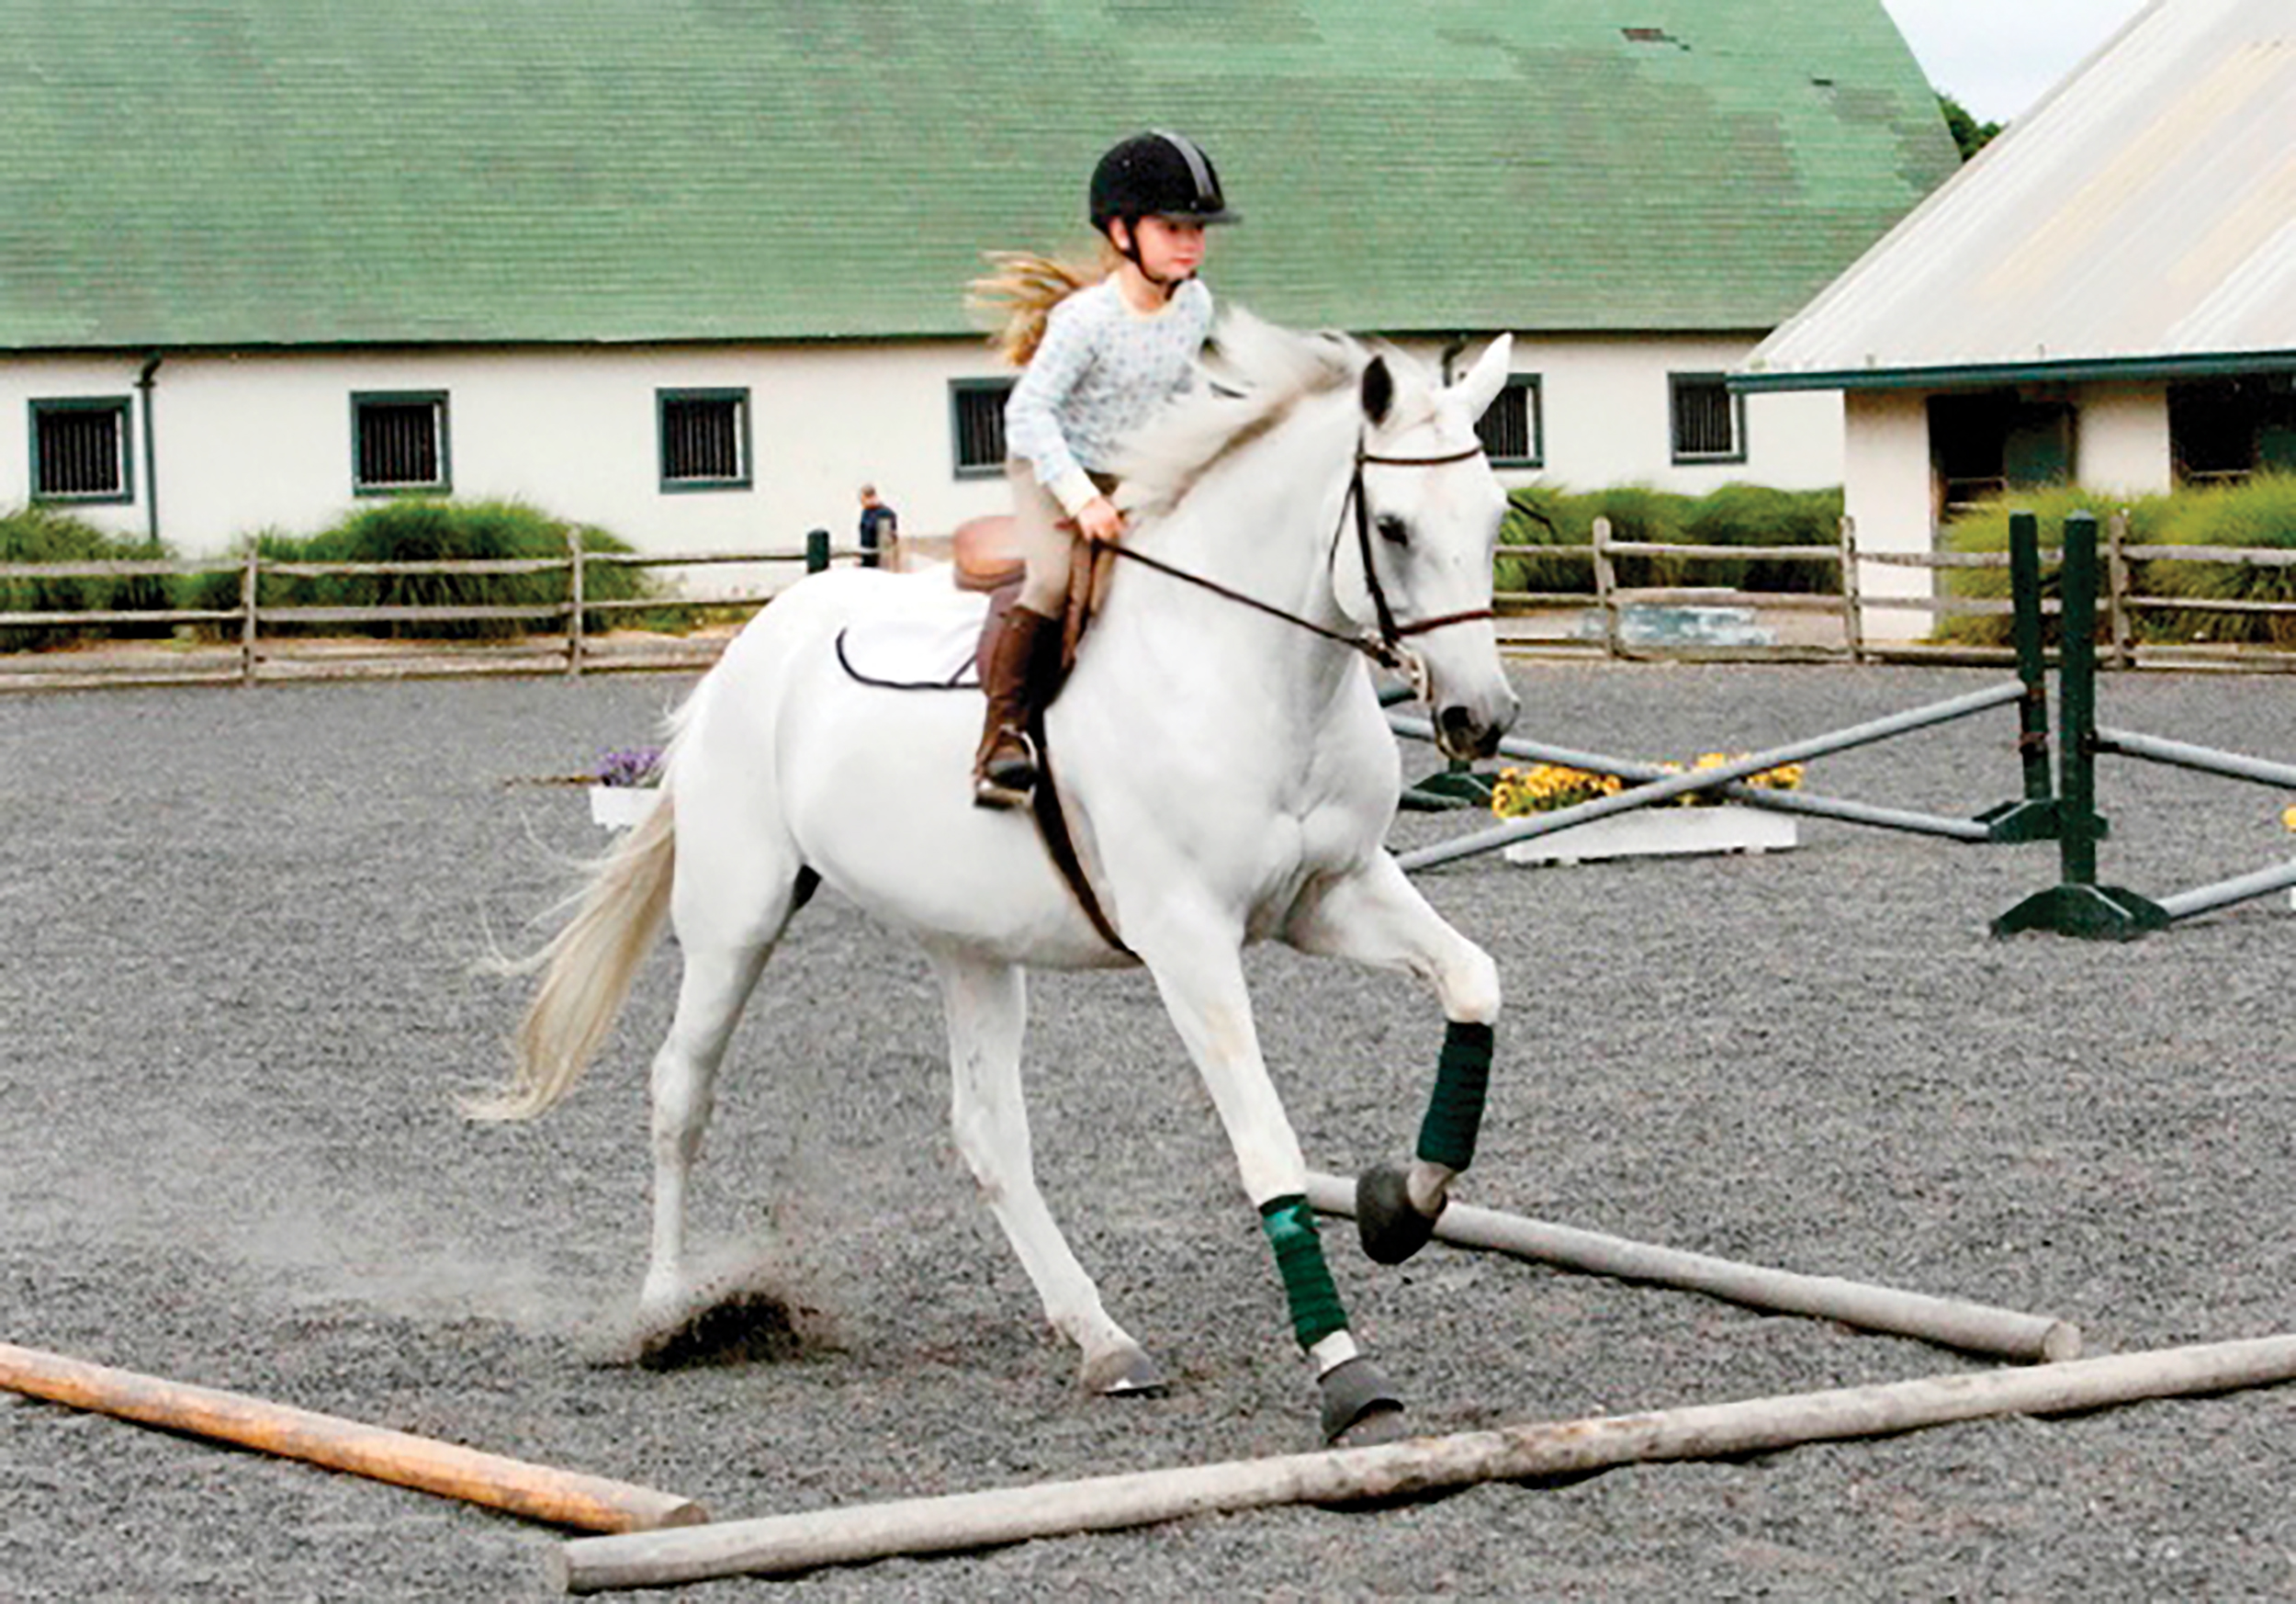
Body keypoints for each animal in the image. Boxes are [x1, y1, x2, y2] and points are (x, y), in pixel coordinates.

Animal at [471, 312, 1519, 1447]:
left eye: (1494, 514)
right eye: (1396, 527)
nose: (1480, 717)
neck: (1244, 671)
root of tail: (756, 642)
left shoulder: (1335, 892)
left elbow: (1473, 983)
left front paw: (1400, 1205)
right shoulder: (1188, 942)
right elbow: (1269, 1148)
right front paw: (1343, 1371)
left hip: (968, 944)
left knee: (988, 1136)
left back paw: (1101, 1339)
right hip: (736, 919)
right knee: (680, 1090)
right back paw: (667, 1311)